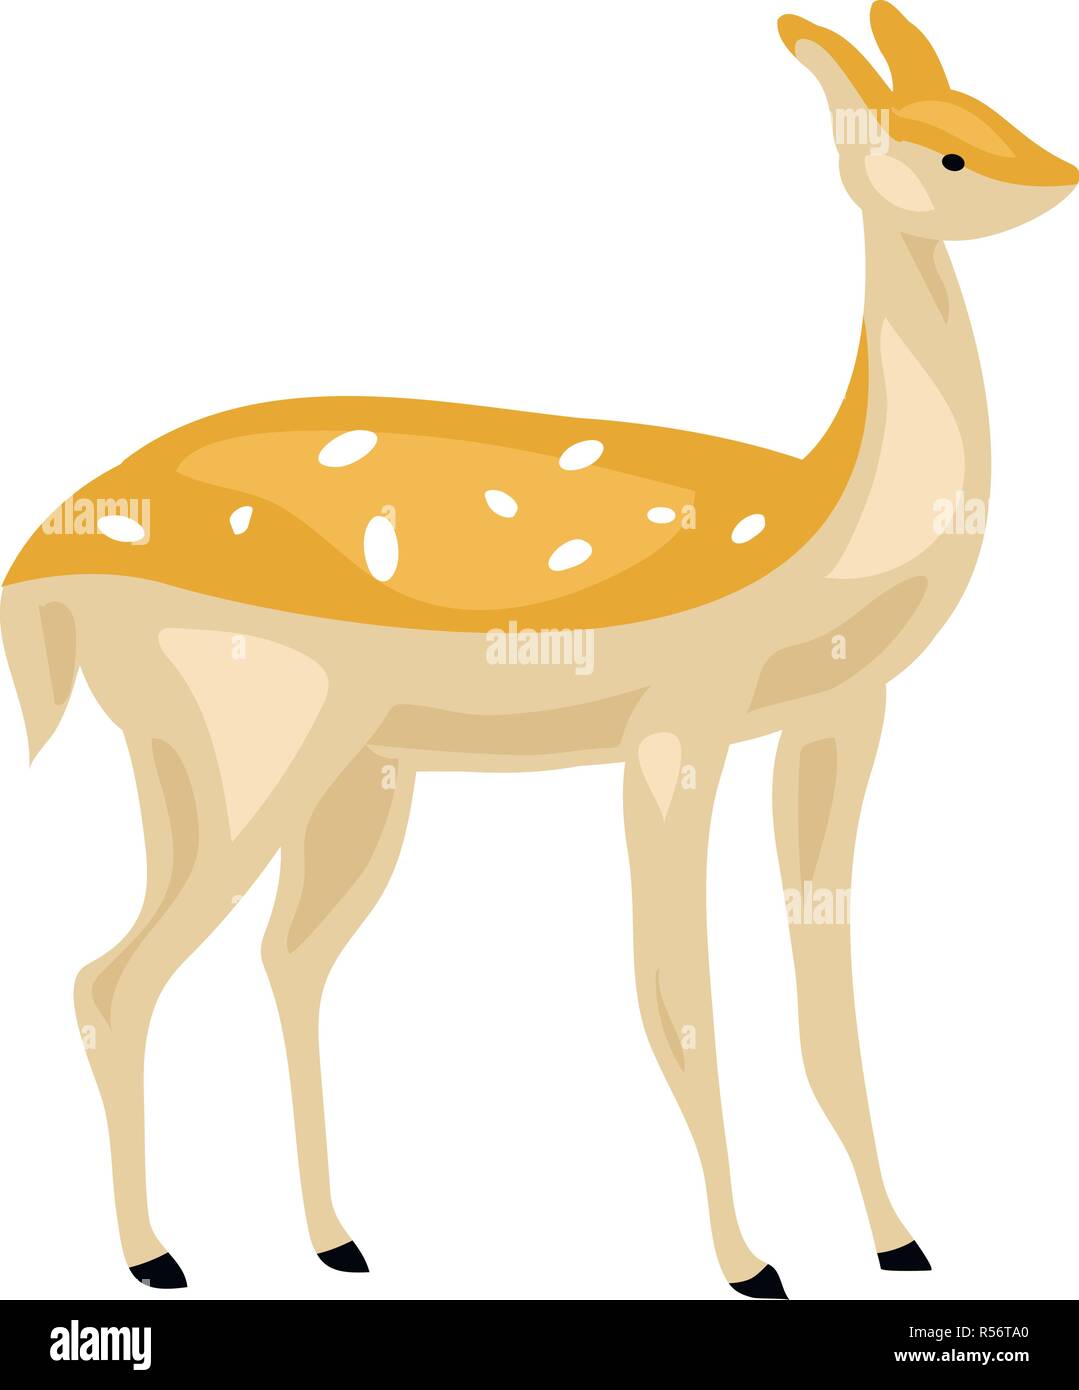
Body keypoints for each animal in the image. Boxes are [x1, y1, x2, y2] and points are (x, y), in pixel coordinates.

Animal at [2, 3, 1074, 1299]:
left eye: (997, 111)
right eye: (946, 151)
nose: (1063, 175)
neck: (814, 540)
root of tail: (38, 573)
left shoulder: (839, 709)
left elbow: (828, 992)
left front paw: (899, 1238)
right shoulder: (679, 714)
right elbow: (673, 994)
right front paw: (749, 1262)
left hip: (304, 762)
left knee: (283, 958)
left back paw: (335, 1238)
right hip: (250, 731)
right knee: (112, 975)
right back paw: (158, 1256)